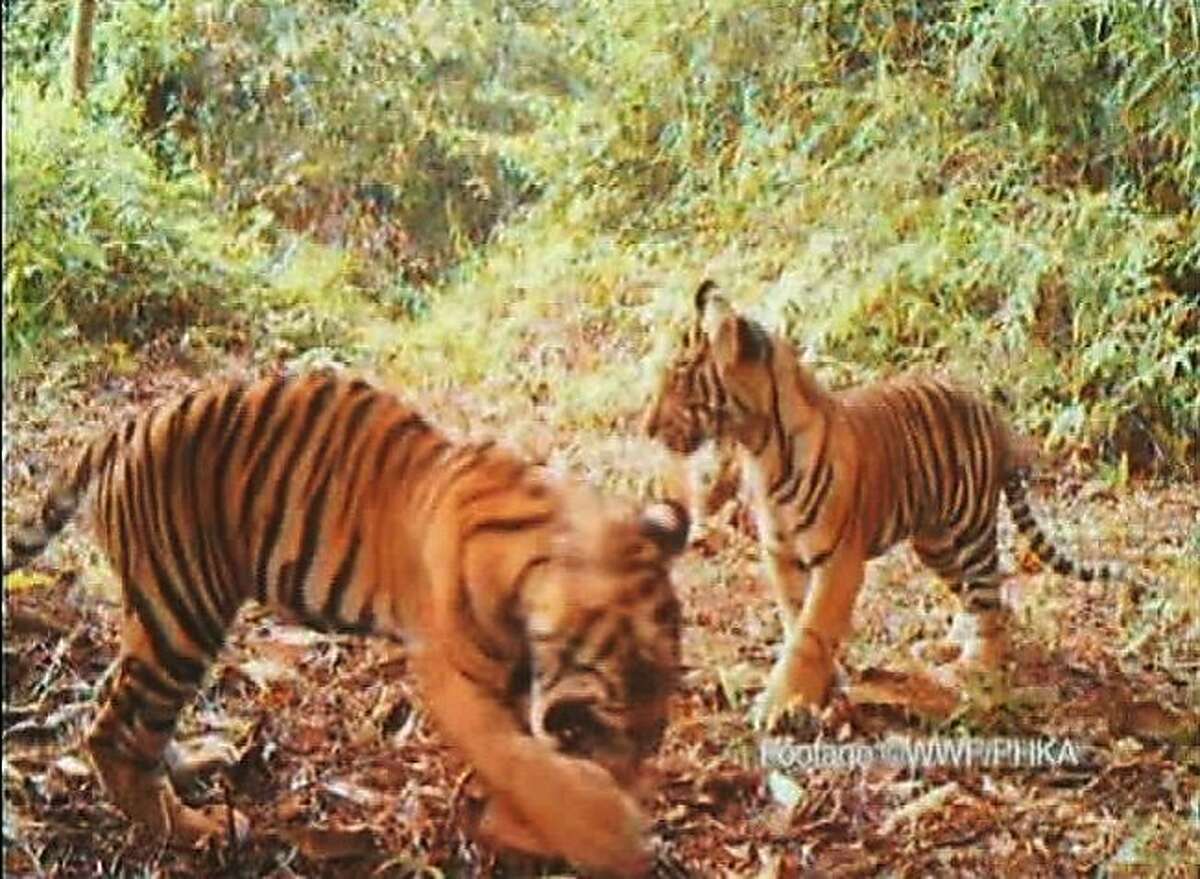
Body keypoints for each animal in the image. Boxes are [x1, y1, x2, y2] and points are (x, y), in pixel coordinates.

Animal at [3, 370, 689, 877]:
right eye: (640, 666)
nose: (651, 744)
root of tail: (131, 425)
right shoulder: (456, 679)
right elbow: (524, 763)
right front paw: (610, 837)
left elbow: (525, 764)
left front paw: (526, 828)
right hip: (181, 608)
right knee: (111, 729)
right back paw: (195, 829)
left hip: (165, 618)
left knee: (130, 709)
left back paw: (196, 761)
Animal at [644, 280, 1117, 729]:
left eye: (681, 374)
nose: (646, 427)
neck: (759, 448)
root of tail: (990, 410)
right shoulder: (781, 554)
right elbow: (796, 618)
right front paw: (822, 687)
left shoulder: (839, 560)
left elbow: (811, 631)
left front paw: (781, 704)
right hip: (935, 542)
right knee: (970, 593)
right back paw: (947, 643)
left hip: (970, 529)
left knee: (989, 596)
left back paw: (977, 666)